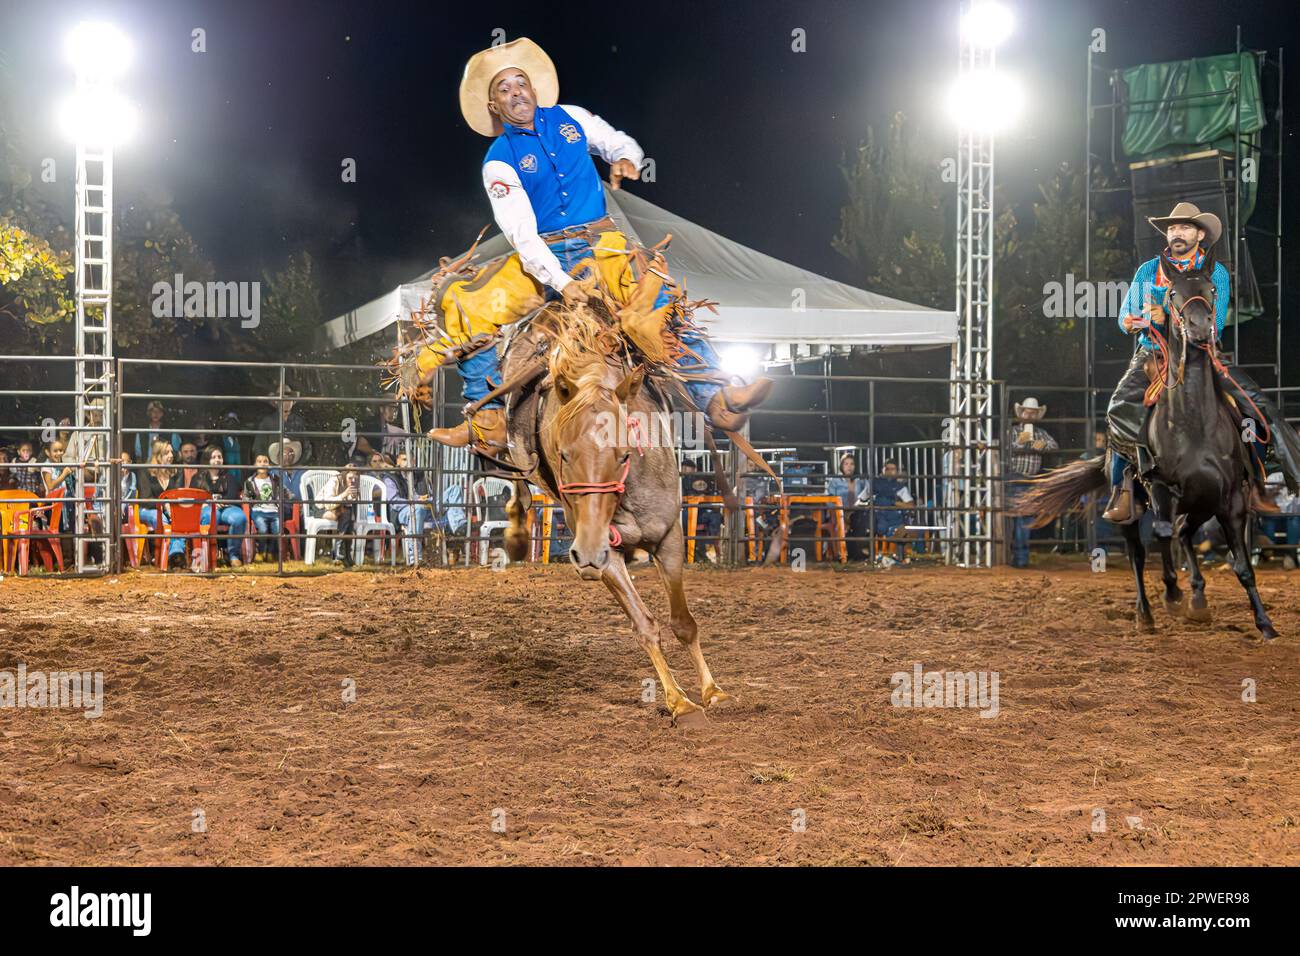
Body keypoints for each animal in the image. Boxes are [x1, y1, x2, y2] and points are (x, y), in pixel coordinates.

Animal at [492, 300, 734, 726]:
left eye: (623, 455)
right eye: (563, 454)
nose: (587, 553)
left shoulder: (669, 538)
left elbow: (683, 623)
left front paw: (713, 691)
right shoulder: (606, 557)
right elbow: (645, 625)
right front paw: (680, 702)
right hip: (519, 455)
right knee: (518, 486)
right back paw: (518, 536)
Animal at [1016, 249, 1279, 639]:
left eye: (1212, 289)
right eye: (1172, 294)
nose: (1199, 330)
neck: (1193, 423)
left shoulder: (1230, 499)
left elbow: (1243, 565)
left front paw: (1265, 624)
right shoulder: (1160, 488)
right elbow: (1162, 533)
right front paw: (1171, 594)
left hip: (1201, 501)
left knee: (1185, 533)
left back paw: (1198, 601)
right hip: (1130, 506)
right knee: (1140, 551)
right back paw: (1148, 613)